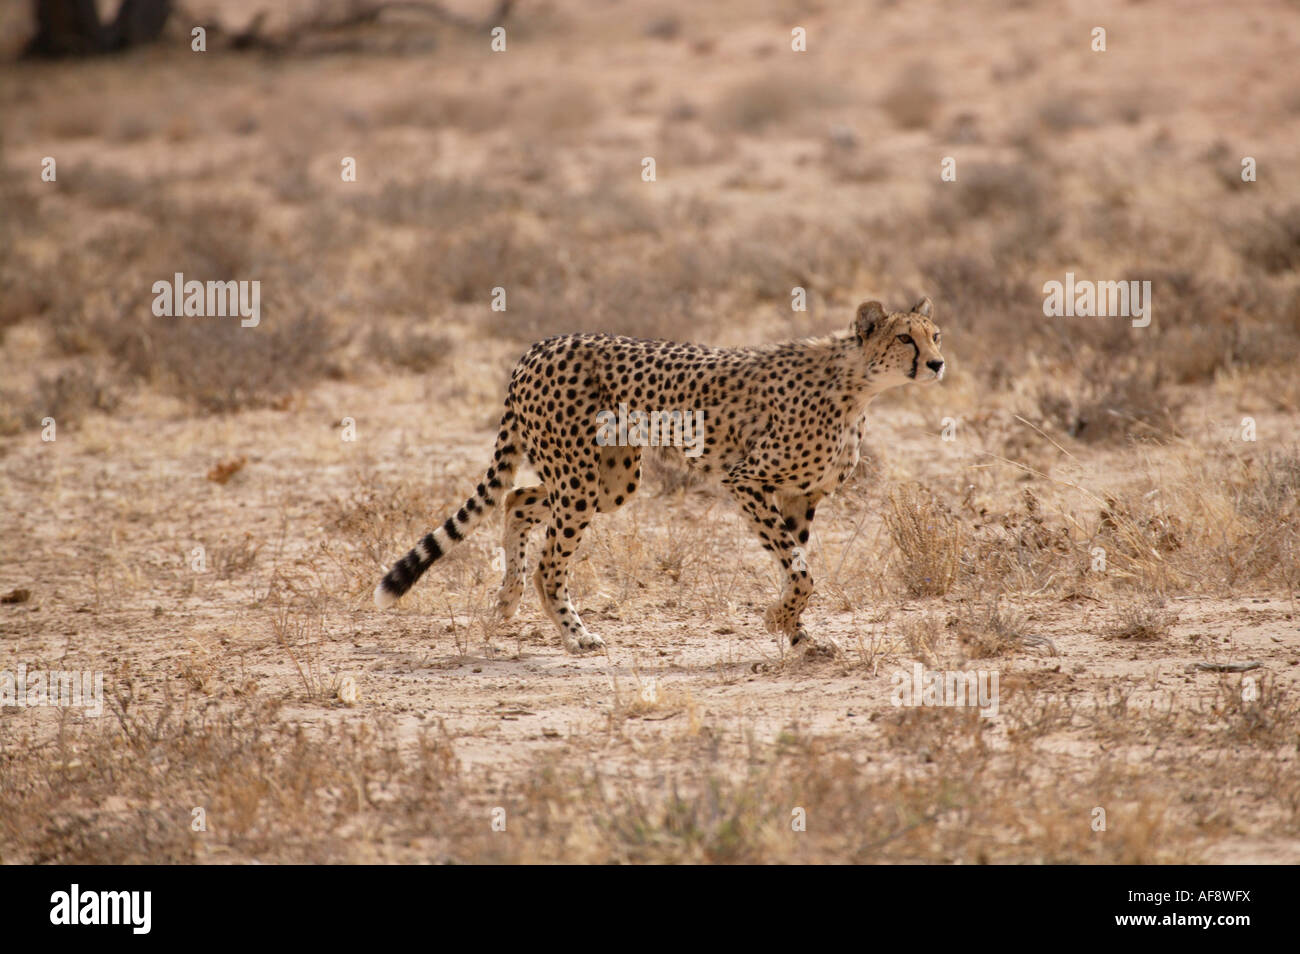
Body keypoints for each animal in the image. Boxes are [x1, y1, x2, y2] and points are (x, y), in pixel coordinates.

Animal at [375, 297, 945, 655]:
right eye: (904, 338)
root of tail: (541, 344)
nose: (939, 363)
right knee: (549, 562)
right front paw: (781, 624)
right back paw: (575, 635)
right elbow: (802, 574)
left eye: (936, 335)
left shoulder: (800, 498)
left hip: (608, 481)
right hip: (581, 479)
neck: (858, 385)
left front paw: (800, 638)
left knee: (517, 499)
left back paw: (507, 599)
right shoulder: (747, 481)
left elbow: (797, 573)